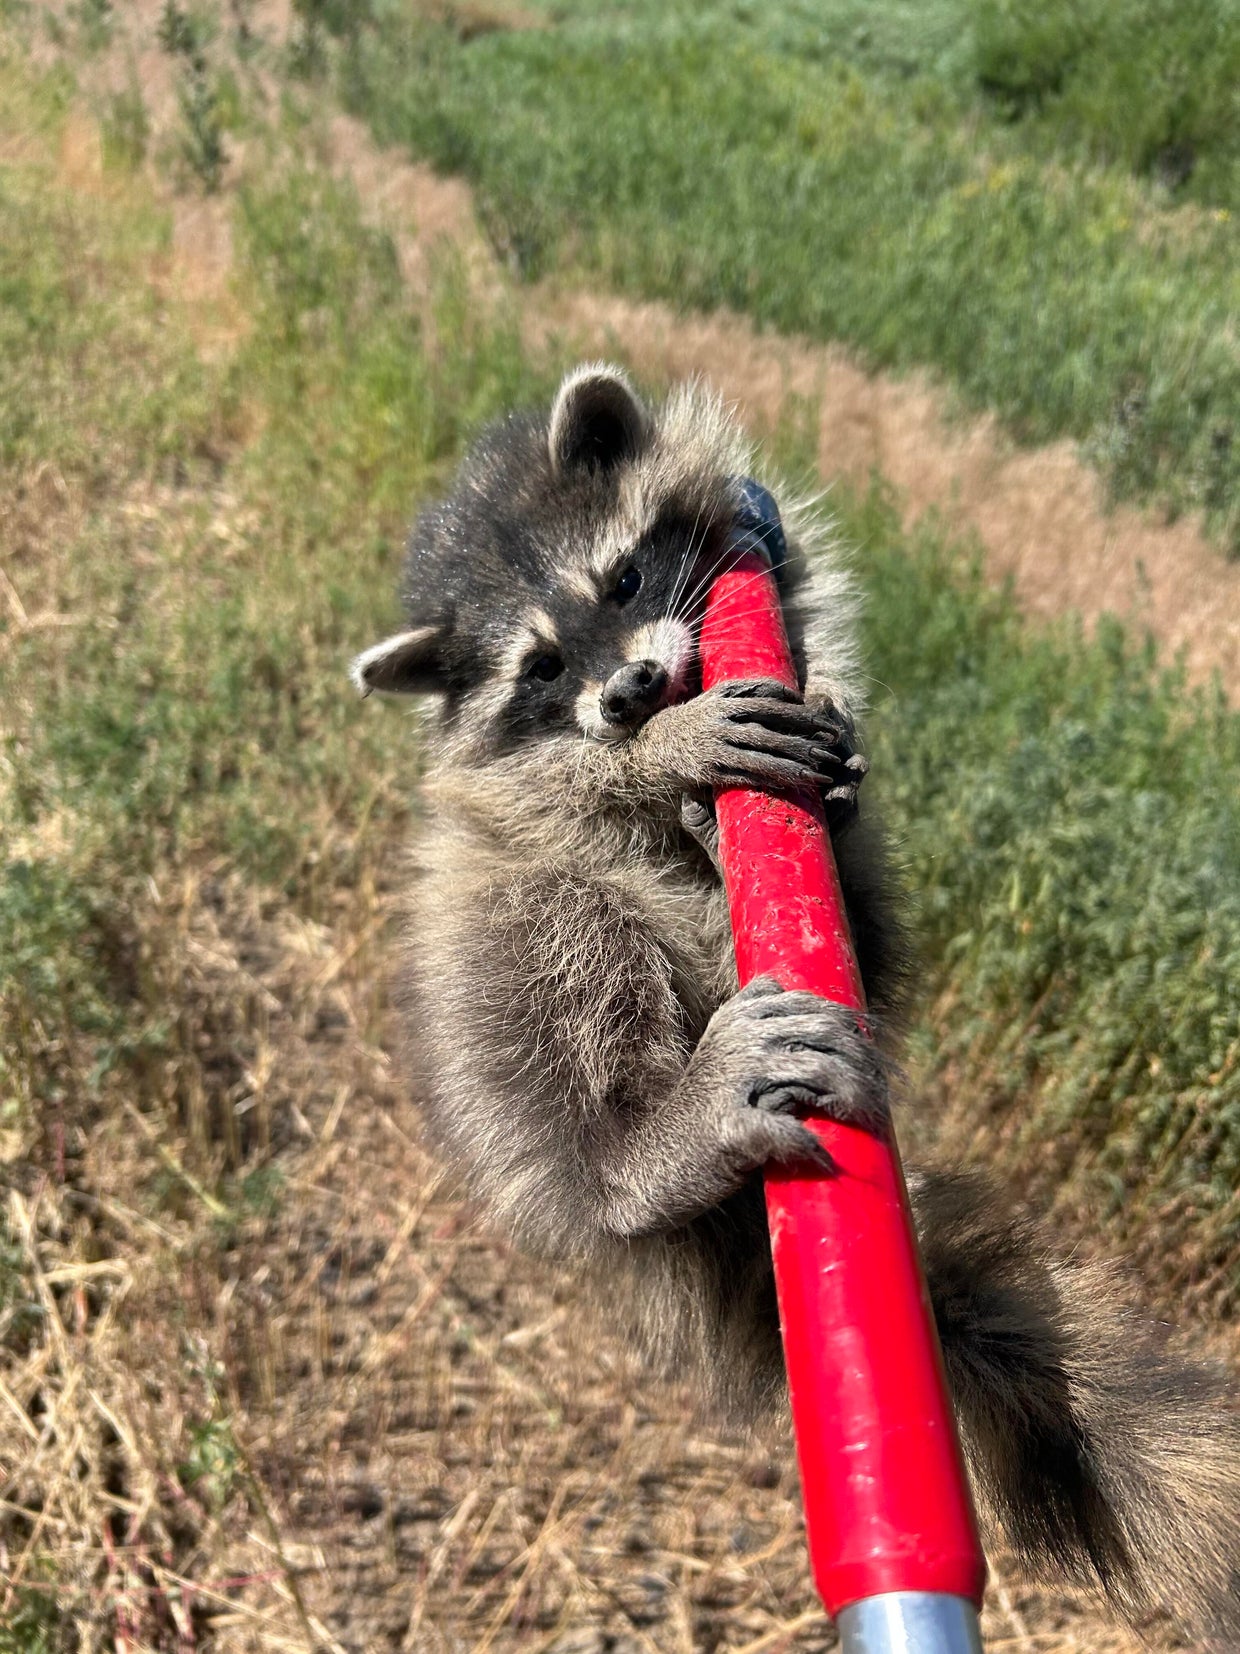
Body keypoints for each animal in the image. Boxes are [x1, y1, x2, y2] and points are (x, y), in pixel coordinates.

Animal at [355, 364, 1240, 1641]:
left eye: (621, 581)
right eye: (541, 669)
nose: (626, 691)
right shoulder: (501, 787)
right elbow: (562, 792)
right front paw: (656, 753)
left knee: (857, 915)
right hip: (508, 993)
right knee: (557, 932)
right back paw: (633, 1148)